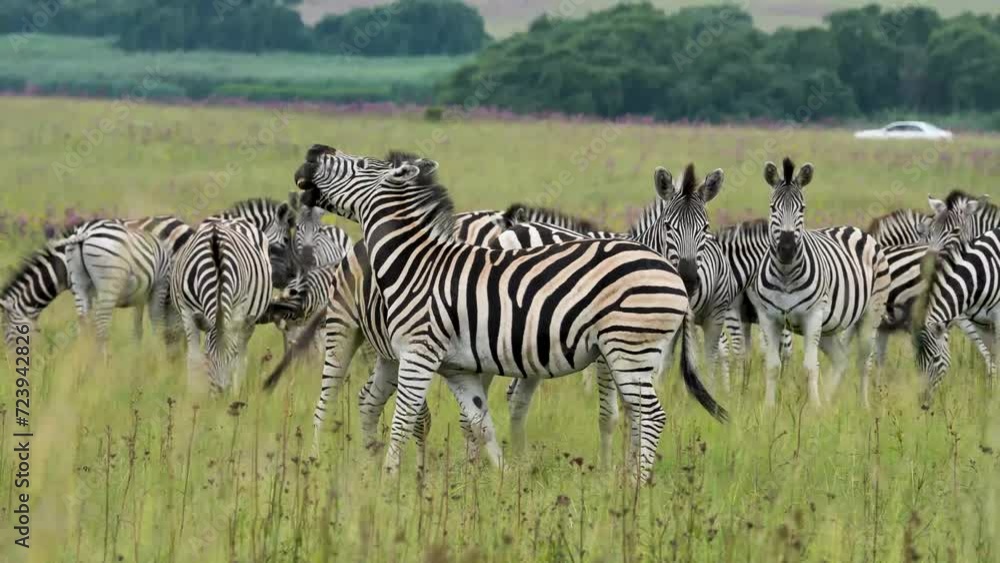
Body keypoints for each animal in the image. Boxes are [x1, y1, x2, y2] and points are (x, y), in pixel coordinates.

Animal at [292, 144, 726, 482]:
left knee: (651, 415)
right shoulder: (456, 367)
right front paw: (504, 480)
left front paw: (389, 480)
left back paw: (636, 485)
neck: (416, 262)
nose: (312, 153)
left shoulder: (419, 354)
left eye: (361, 164)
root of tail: (669, 272)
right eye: (670, 226)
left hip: (628, 348)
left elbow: (403, 417)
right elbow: (480, 422)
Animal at [748, 158, 889, 407]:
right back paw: (829, 403)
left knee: (864, 362)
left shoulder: (812, 316)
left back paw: (862, 406)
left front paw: (813, 408)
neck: (786, 274)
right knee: (842, 359)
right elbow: (773, 367)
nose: (786, 249)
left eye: (802, 209)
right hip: (828, 327)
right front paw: (768, 408)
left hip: (870, 314)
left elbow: (809, 368)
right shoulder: (768, 318)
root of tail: (855, 229)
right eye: (773, 208)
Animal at [915, 227, 1000, 400]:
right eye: (917, 360)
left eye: (936, 359)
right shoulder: (974, 322)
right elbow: (989, 358)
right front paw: (990, 394)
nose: (923, 400)